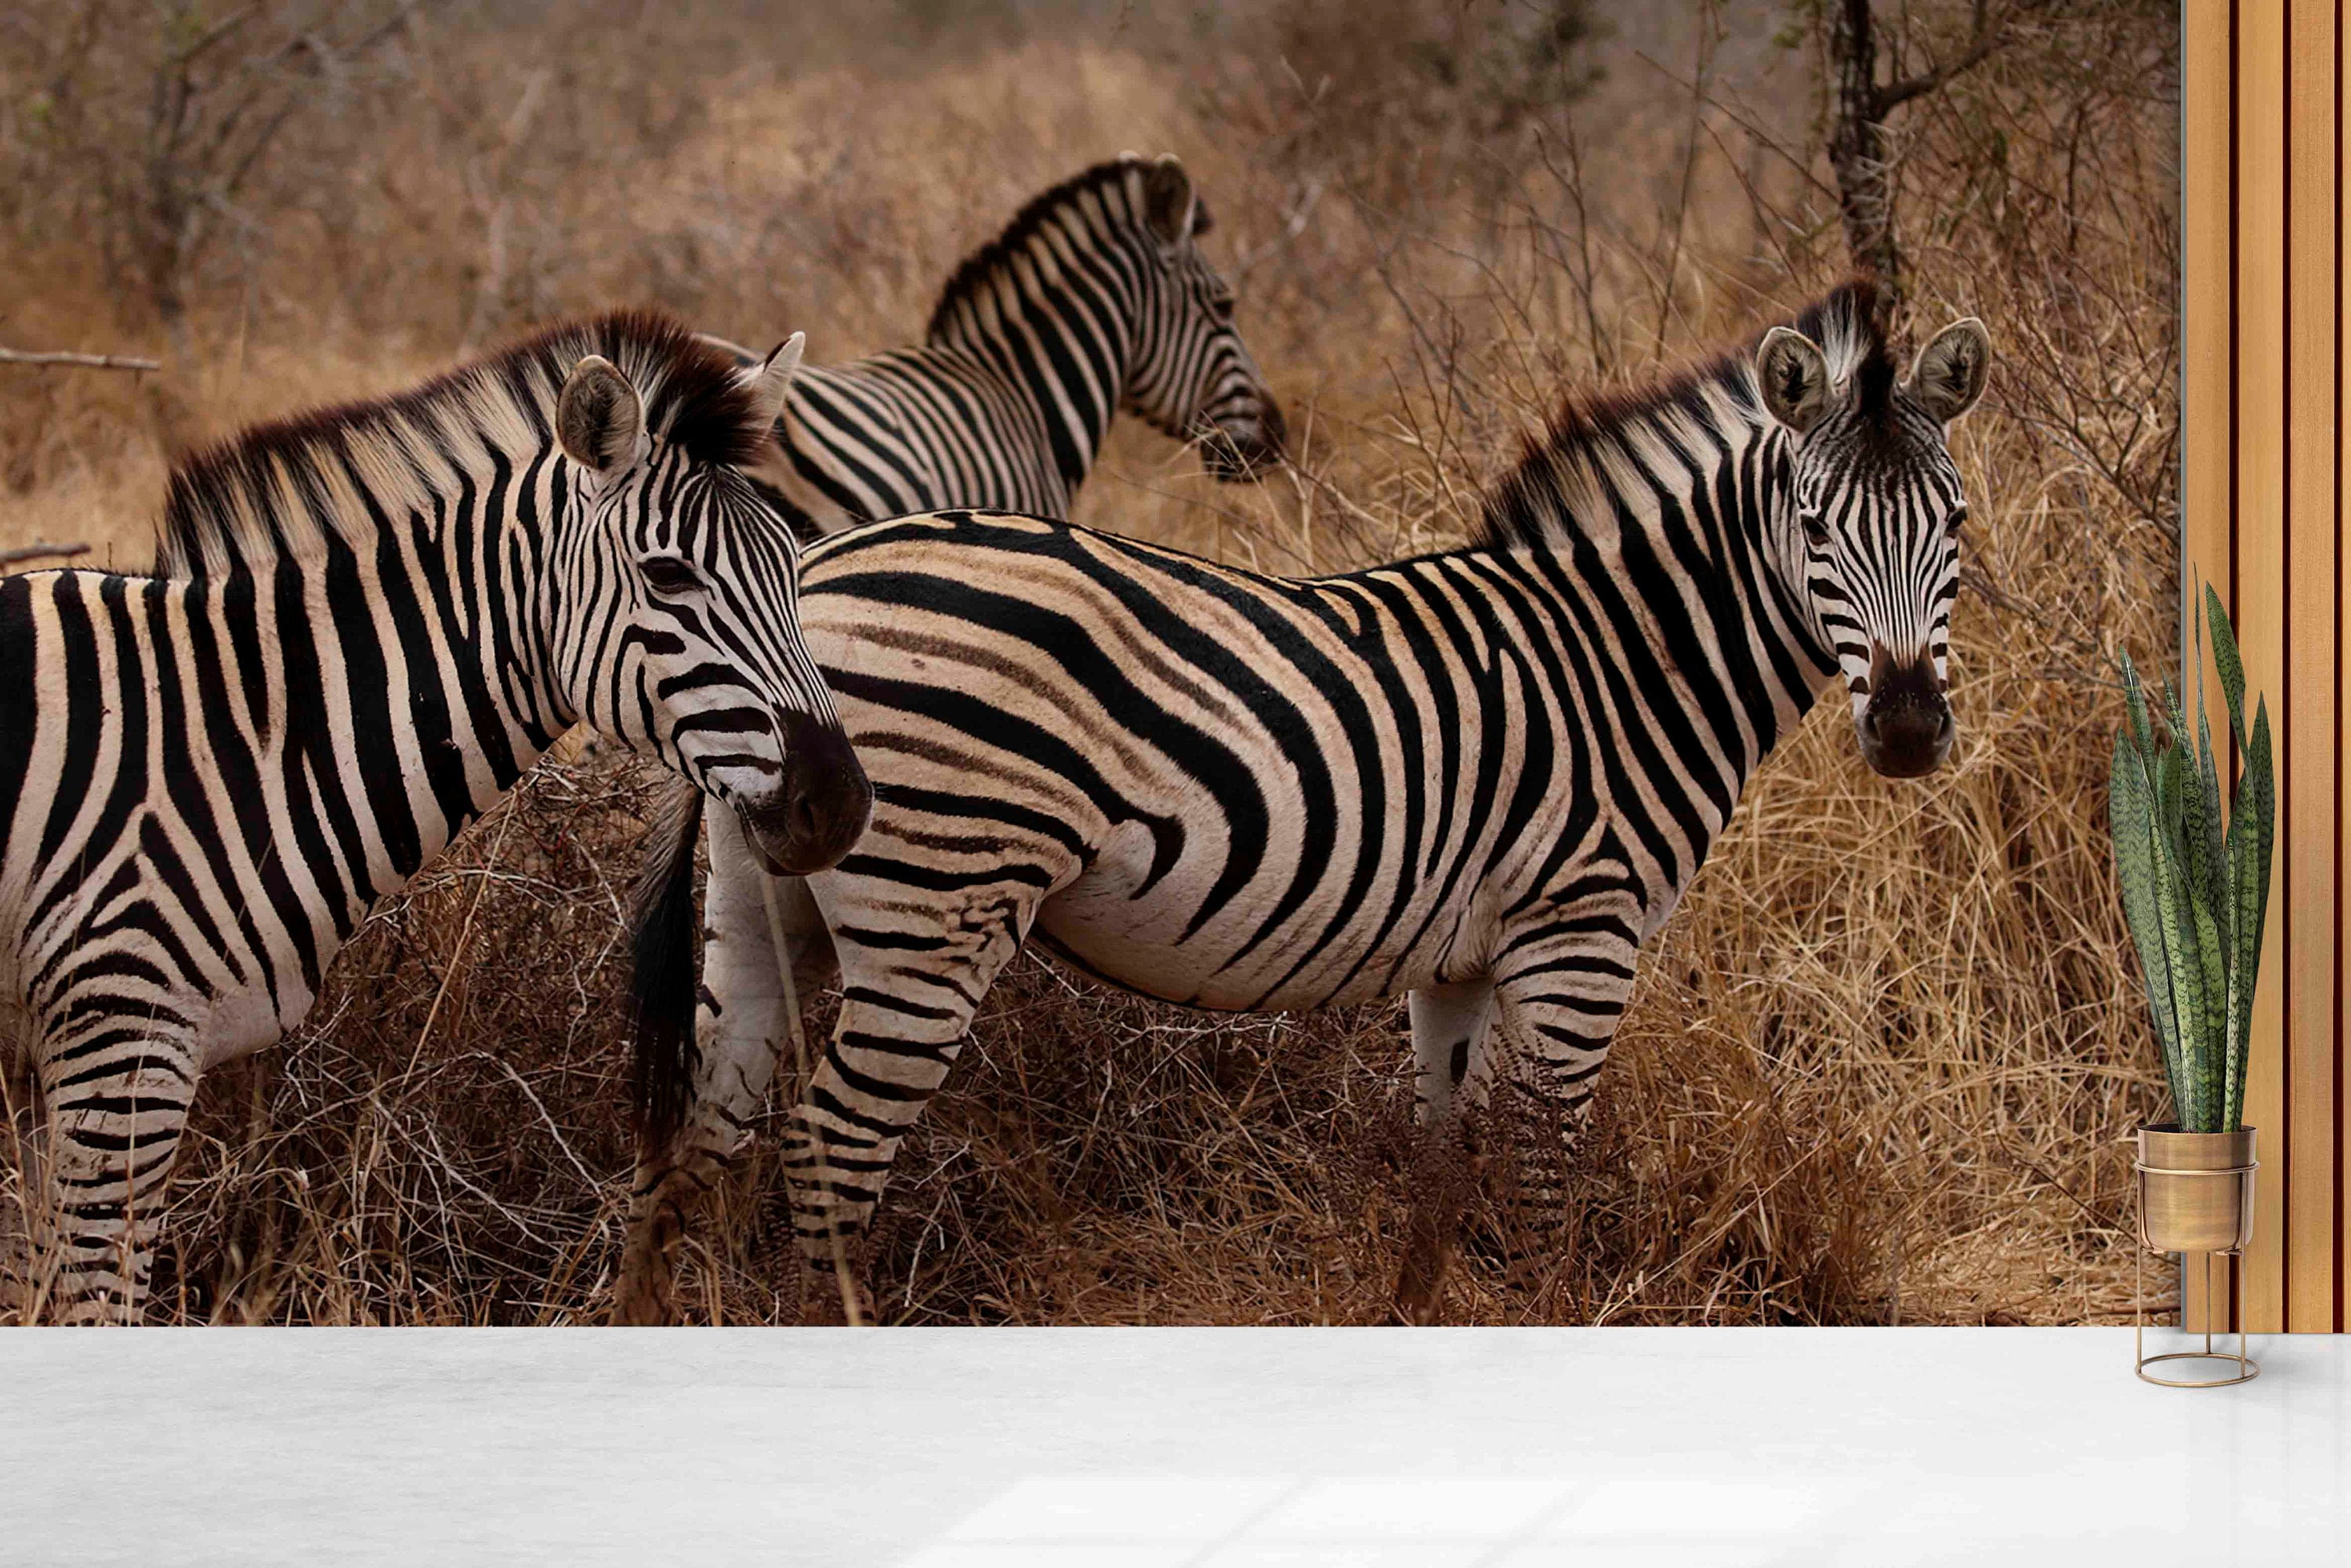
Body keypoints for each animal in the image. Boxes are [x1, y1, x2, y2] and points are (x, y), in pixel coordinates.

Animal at [0, 312, 872, 1323]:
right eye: (667, 576)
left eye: (791, 566)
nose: (842, 805)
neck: (238, 738)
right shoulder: (119, 1043)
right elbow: (89, 1301)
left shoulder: (46, 1064)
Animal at [616, 282, 1990, 1324]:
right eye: (1814, 522)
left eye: (1957, 519)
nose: (1909, 728)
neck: (1626, 659)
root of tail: (813, 569)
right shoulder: (1579, 937)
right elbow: (1546, 1183)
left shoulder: (1463, 962)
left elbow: (1442, 1161)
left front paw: (1418, 1323)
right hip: (934, 910)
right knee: (828, 1153)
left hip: (767, 899)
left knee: (701, 1140)